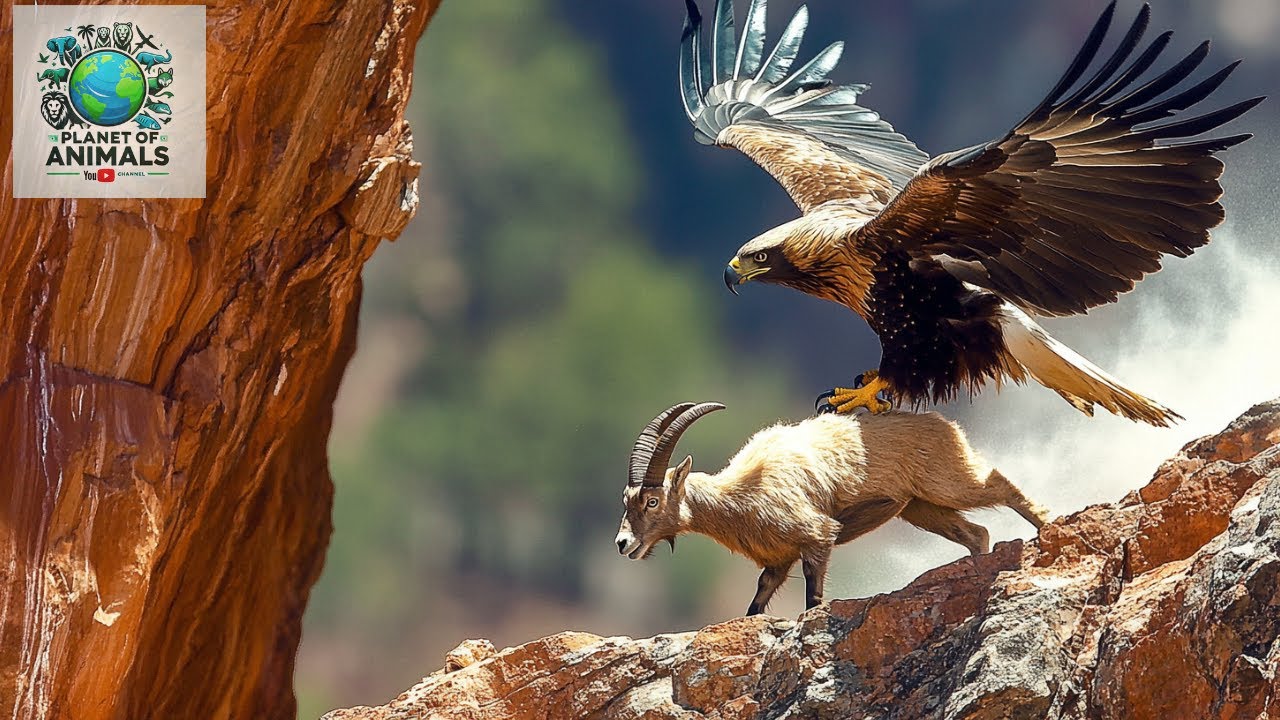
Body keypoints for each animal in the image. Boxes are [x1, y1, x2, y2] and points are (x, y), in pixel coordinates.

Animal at [615, 402, 1048, 616]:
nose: (622, 543)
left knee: (1000, 484)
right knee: (977, 533)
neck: (742, 493)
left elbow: (813, 596)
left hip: (948, 482)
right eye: (626, 499)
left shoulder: (816, 536)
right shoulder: (777, 561)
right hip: (921, 508)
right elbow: (755, 605)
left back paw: (1046, 529)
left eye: (652, 500)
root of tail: (943, 423)